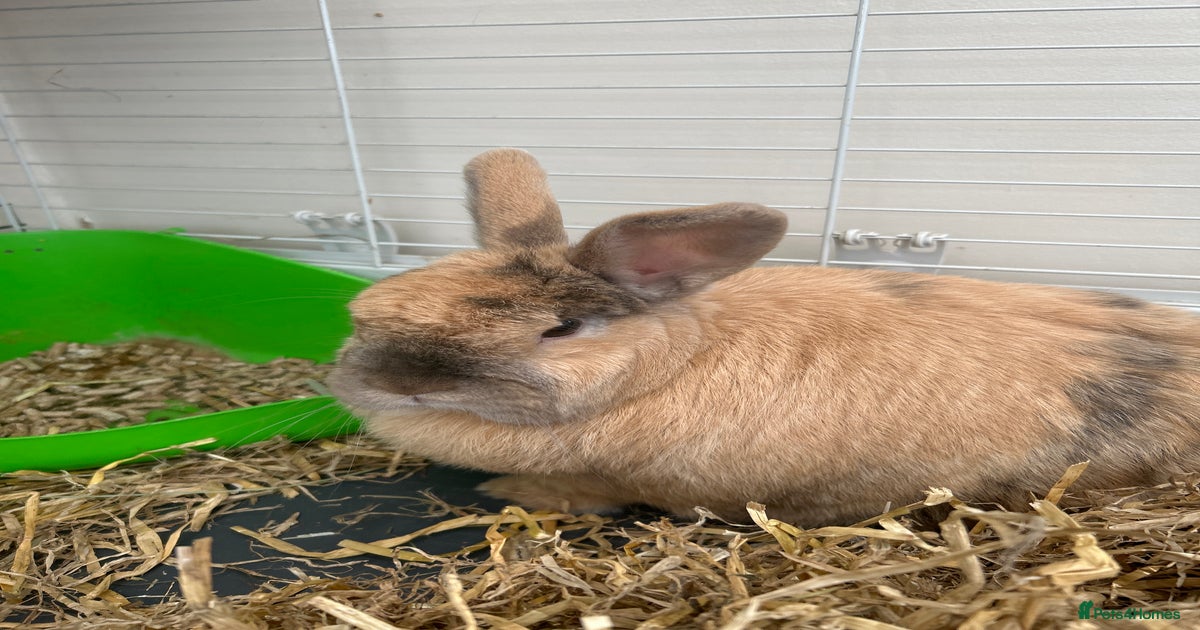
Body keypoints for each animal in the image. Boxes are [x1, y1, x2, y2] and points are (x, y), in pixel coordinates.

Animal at [329, 148, 1200, 527]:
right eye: (364, 313)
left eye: (564, 328)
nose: (401, 383)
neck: (661, 366)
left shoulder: (610, 478)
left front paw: (507, 493)